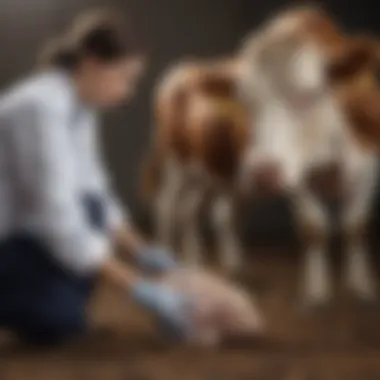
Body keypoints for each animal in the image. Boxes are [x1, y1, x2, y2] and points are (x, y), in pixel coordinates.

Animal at [239, 5, 380, 308]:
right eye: (246, 101)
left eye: (310, 93)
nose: (261, 173)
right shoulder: (294, 177)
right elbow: (313, 229)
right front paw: (316, 293)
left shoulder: (368, 174)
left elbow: (355, 227)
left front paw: (361, 286)